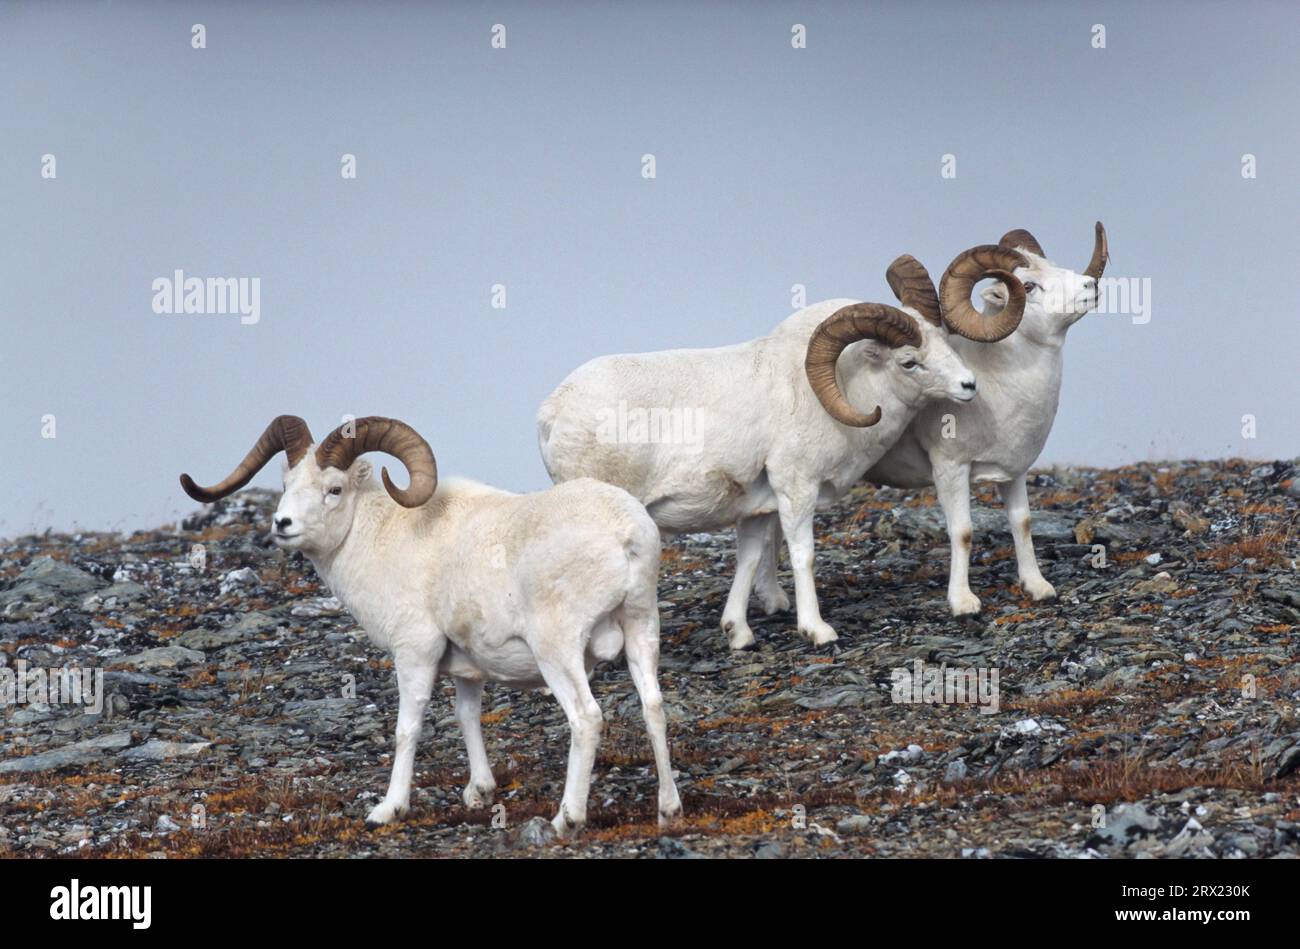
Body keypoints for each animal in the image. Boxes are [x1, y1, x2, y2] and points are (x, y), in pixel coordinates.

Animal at [179, 415, 681, 836]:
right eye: (286, 483)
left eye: (334, 489)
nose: (282, 524)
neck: (381, 537)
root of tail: (625, 535)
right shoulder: (467, 666)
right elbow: (467, 716)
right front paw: (480, 793)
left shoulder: (415, 652)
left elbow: (408, 728)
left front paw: (387, 809)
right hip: (642, 630)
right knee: (653, 706)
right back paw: (668, 810)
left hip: (557, 651)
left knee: (586, 718)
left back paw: (566, 819)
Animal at [538, 259, 1021, 650]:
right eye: (909, 361)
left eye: (943, 340)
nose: (969, 386)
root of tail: (552, 412)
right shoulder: (797, 489)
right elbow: (802, 554)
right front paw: (818, 631)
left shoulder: (757, 508)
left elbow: (750, 560)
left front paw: (738, 634)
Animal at [753, 224, 1109, 617]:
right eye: (1028, 286)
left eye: (1053, 266)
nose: (1090, 287)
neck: (1002, 386)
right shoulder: (951, 469)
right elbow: (963, 532)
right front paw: (963, 602)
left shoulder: (1013, 472)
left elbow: (1023, 523)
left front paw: (1038, 587)